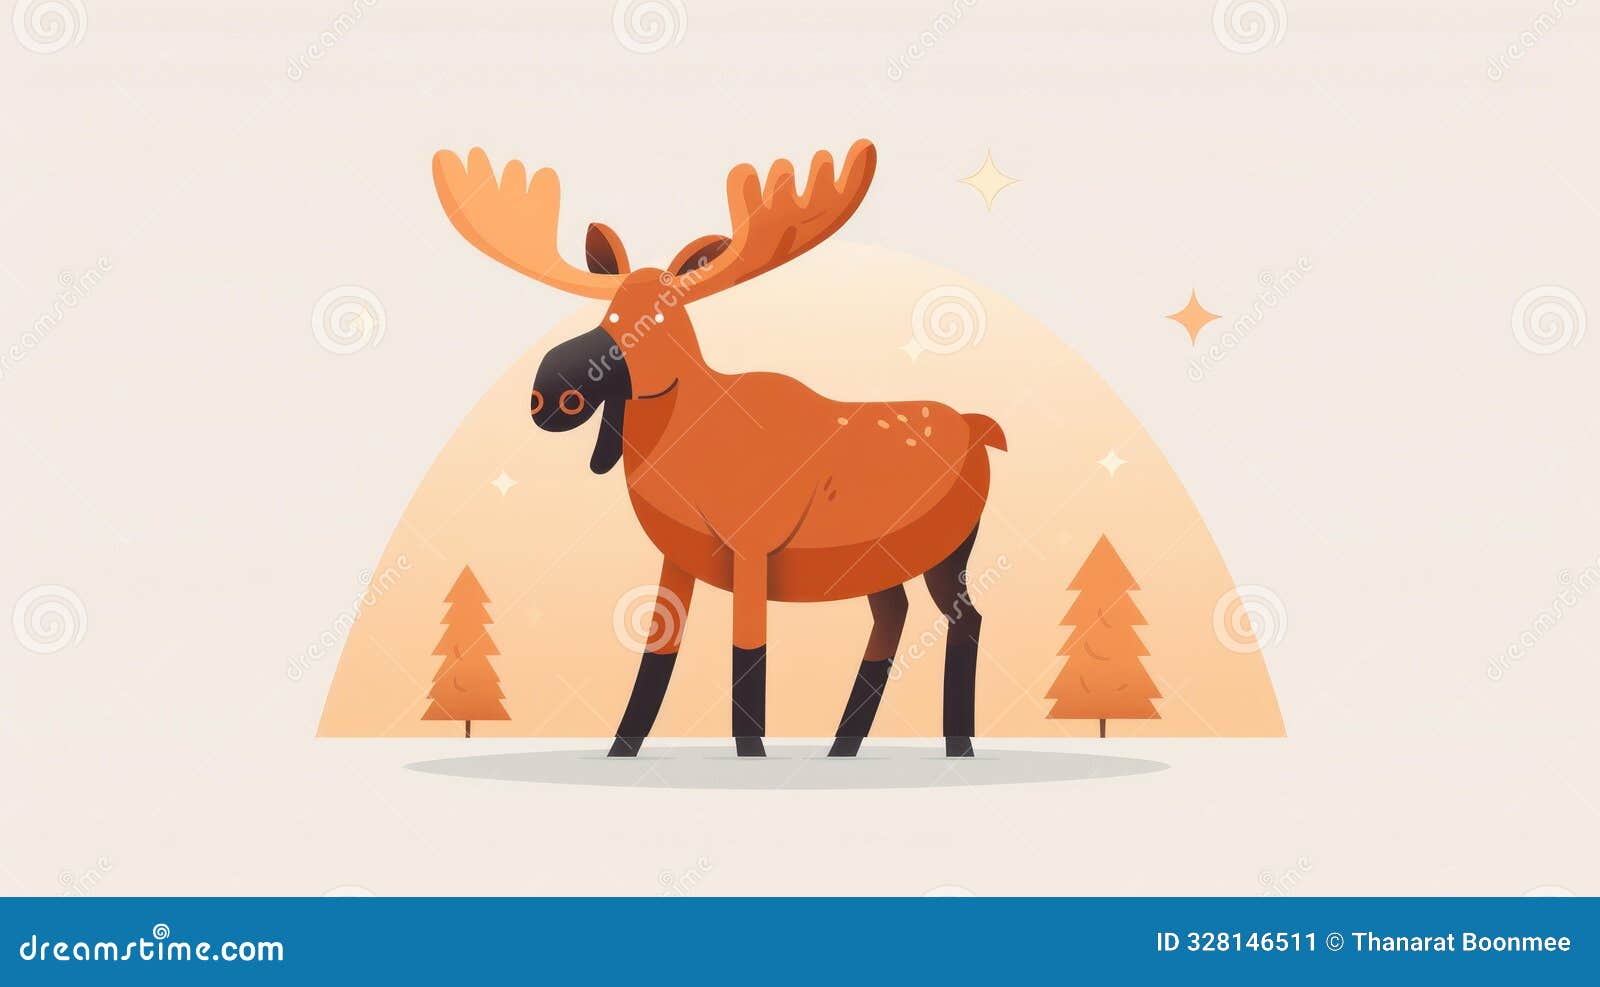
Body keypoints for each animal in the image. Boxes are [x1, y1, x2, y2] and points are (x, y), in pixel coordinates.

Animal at [432, 139, 1006, 758]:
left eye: (661, 319)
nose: (554, 392)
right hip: (881, 561)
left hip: (949, 552)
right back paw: (842, 749)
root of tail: (982, 429)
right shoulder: (677, 559)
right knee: (894, 616)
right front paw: (619, 752)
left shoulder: (752, 549)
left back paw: (957, 745)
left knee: (965, 619)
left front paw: (751, 754)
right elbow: (656, 659)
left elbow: (746, 658)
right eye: (609, 313)